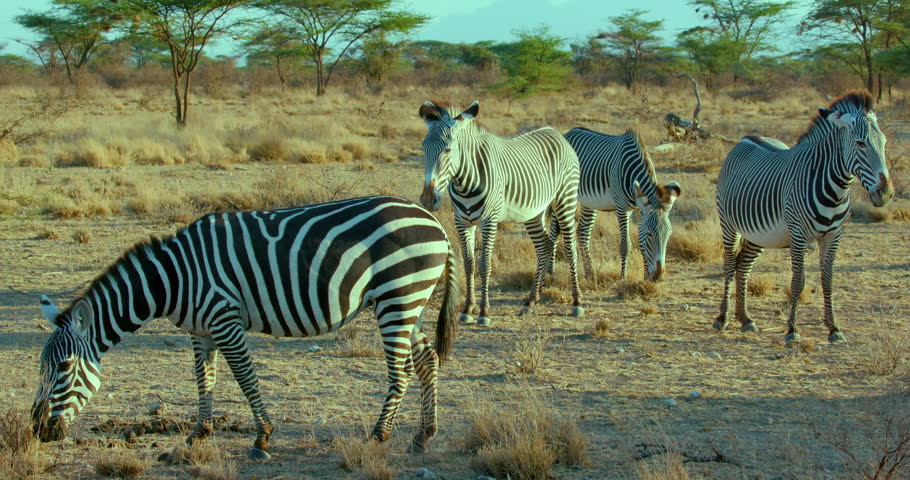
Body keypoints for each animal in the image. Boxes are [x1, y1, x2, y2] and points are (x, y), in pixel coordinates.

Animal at [31, 196, 460, 458]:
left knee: (401, 371)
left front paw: (262, 437)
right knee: (427, 361)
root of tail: (435, 223)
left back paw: (379, 435)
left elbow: (244, 377)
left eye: (64, 367)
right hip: (411, 302)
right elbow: (204, 380)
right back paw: (424, 435)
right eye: (42, 368)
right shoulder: (200, 330)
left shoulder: (225, 319)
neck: (175, 279)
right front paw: (199, 433)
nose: (37, 431)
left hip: (397, 298)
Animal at [418, 100, 583, 327]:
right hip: (533, 211)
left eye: (448, 150)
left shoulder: (490, 220)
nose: (427, 200)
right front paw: (467, 309)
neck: (464, 183)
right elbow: (469, 264)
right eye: (423, 149)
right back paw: (531, 301)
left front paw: (483, 313)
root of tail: (554, 131)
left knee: (570, 248)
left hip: (565, 198)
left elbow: (484, 265)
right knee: (544, 247)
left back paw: (576, 303)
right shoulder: (461, 221)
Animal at [549, 127, 681, 282]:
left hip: (589, 201)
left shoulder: (640, 210)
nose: (659, 277)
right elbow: (626, 245)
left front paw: (644, 277)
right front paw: (623, 277)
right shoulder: (622, 208)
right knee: (554, 231)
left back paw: (589, 274)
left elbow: (641, 245)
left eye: (669, 234)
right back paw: (550, 272)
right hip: (561, 193)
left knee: (582, 232)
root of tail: (568, 133)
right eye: (650, 234)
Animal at [714, 91, 893, 343]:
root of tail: (746, 138)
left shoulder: (833, 236)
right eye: (860, 143)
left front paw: (833, 328)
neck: (836, 189)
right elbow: (798, 281)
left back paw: (746, 319)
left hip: (760, 233)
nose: (885, 193)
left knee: (744, 264)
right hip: (729, 223)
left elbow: (828, 280)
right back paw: (723, 318)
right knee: (730, 263)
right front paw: (792, 329)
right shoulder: (798, 235)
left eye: (884, 143)